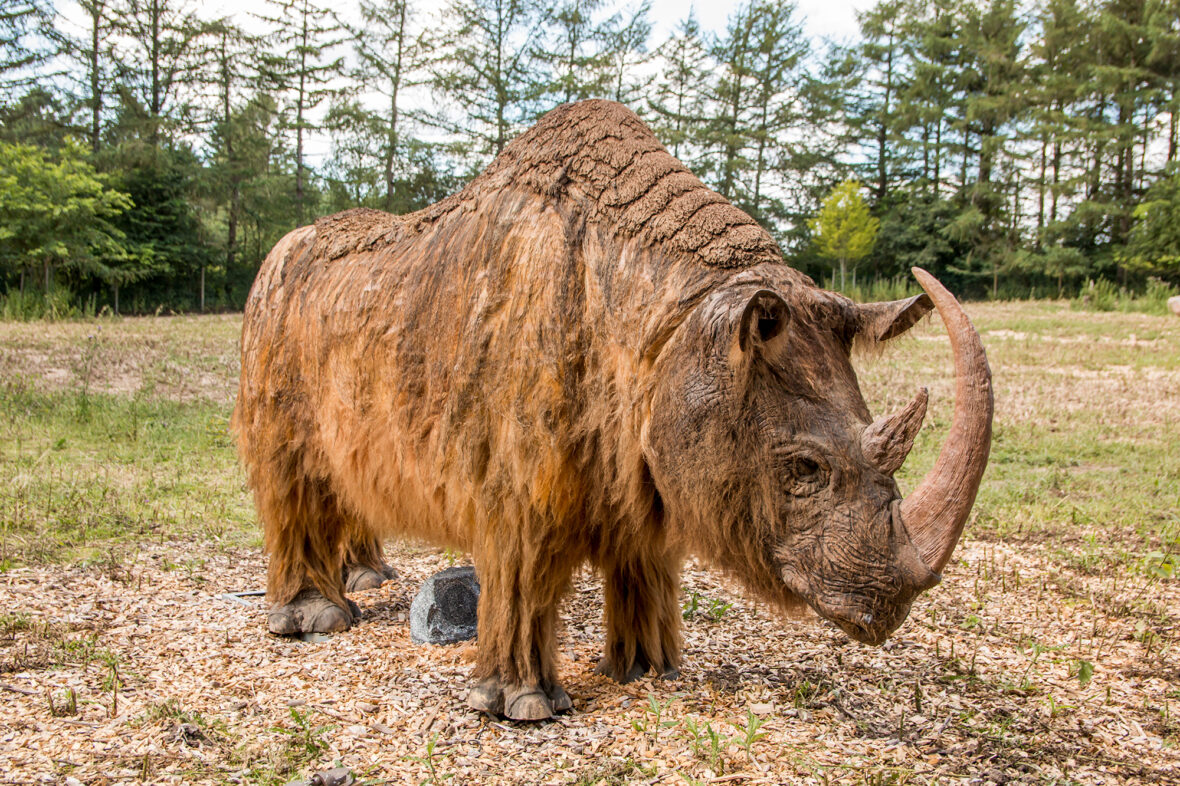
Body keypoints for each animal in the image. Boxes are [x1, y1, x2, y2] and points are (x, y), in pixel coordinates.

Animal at [233, 100, 993, 721]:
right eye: (803, 468)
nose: (884, 612)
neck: (678, 315)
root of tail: (275, 253)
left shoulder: (649, 445)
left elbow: (645, 559)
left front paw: (650, 669)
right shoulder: (522, 472)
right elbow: (522, 565)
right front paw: (524, 706)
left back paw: (370, 578)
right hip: (272, 306)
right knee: (291, 469)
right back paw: (319, 621)